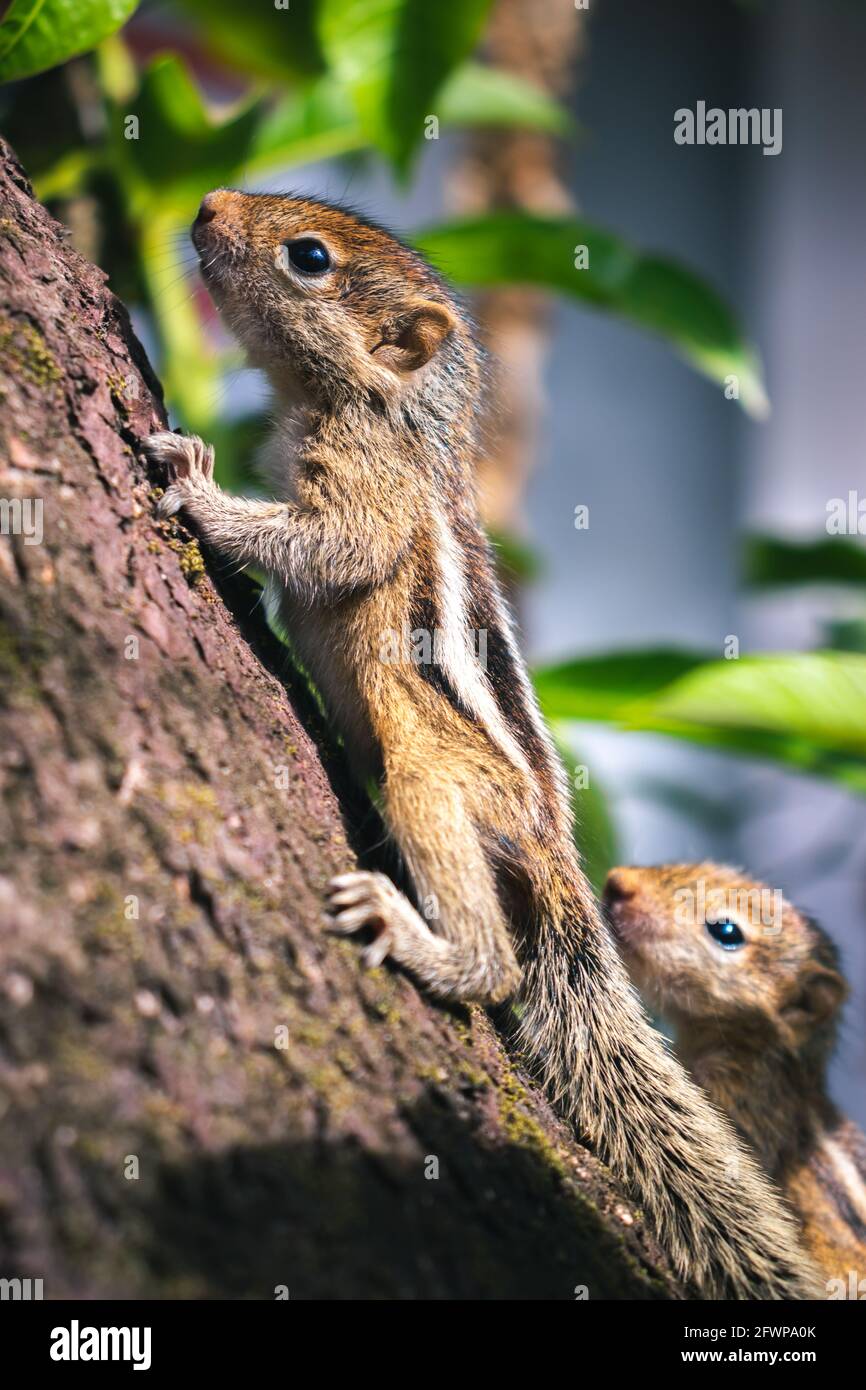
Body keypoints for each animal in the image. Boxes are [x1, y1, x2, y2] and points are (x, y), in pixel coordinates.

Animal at [143, 189, 819, 1298]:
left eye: (309, 258)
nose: (207, 204)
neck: (396, 412)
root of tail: (554, 851)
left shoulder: (365, 486)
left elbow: (327, 545)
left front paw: (196, 486)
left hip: (432, 775)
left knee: (495, 965)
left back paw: (426, 941)